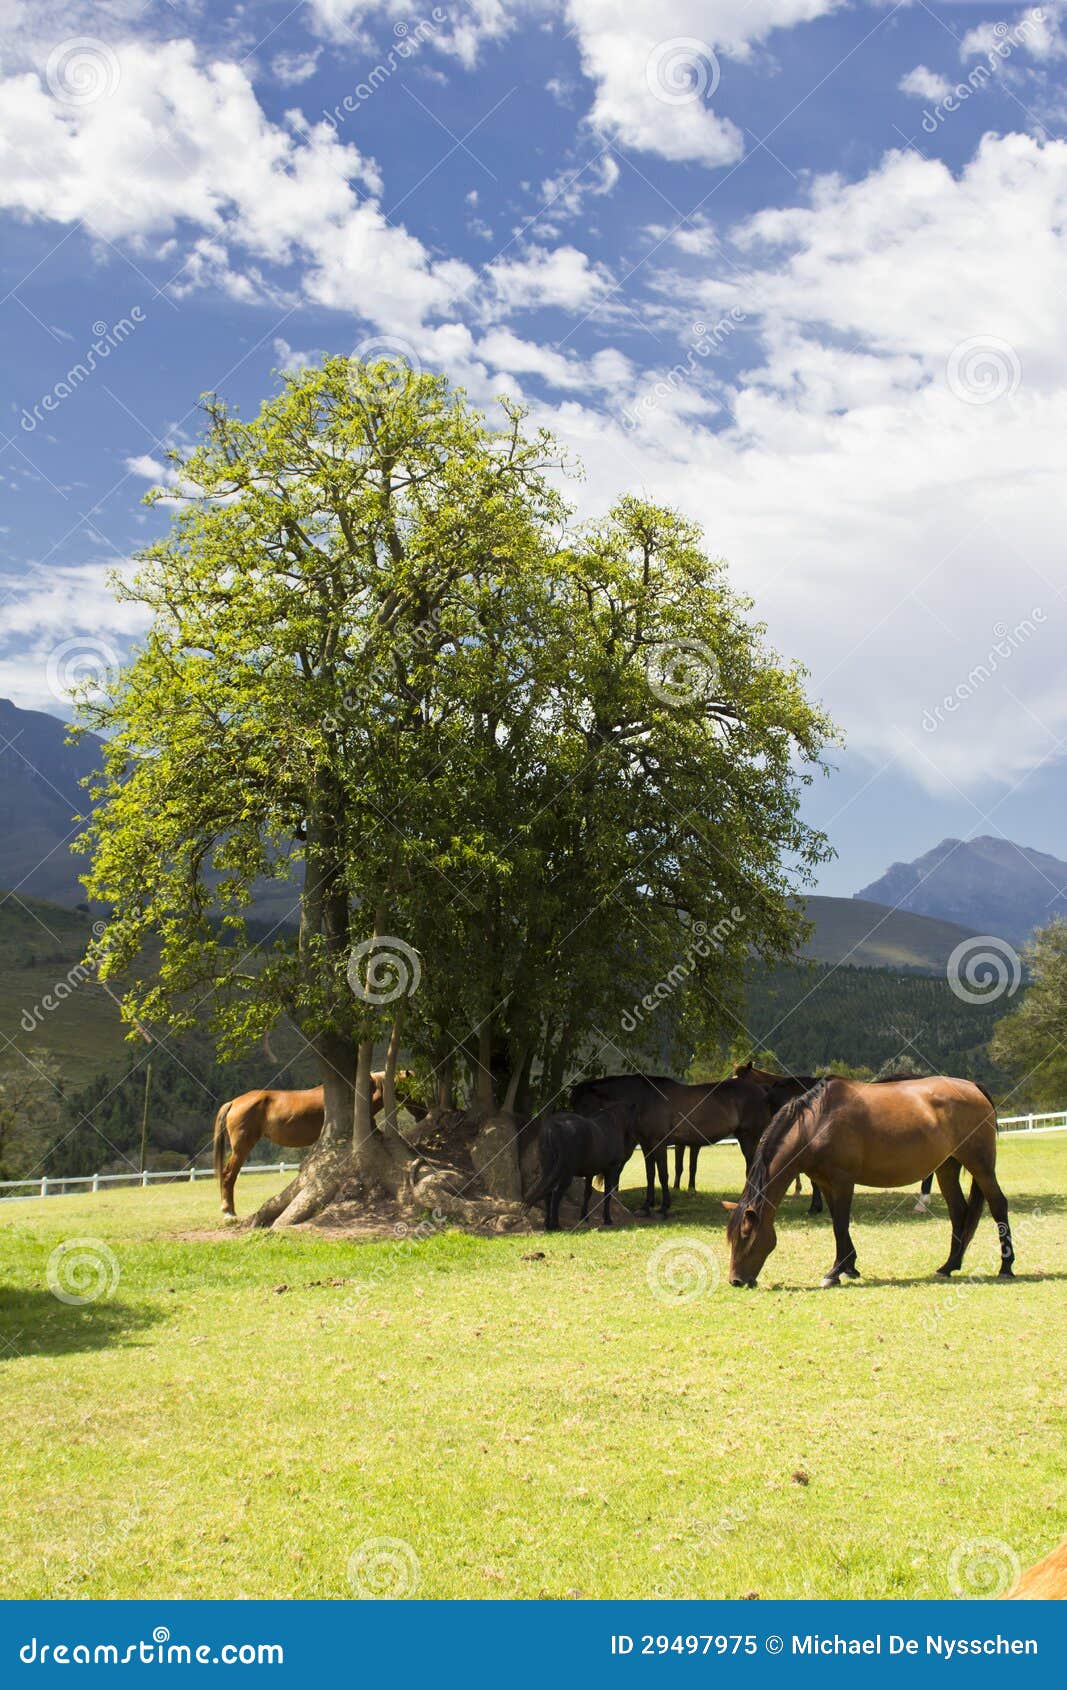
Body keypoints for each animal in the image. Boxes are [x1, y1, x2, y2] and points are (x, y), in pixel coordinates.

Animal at [213, 1070, 427, 1217]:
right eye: (414, 1087)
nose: (423, 1113)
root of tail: (234, 1102)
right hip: (242, 1147)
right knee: (228, 1175)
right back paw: (228, 1212)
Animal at [571, 1073, 769, 1216]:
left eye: (584, 1104)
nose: (580, 1131)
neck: (644, 1100)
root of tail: (761, 1092)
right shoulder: (647, 1146)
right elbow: (650, 1175)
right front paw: (646, 1207)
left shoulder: (659, 1144)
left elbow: (663, 1174)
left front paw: (664, 1207)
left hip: (749, 1138)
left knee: (752, 1167)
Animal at [724, 1074, 1013, 1288]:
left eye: (746, 1235)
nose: (736, 1280)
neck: (817, 1123)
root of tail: (974, 1087)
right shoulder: (826, 1183)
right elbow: (838, 1224)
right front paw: (849, 1267)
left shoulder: (842, 1182)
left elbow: (840, 1225)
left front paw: (834, 1272)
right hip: (947, 1167)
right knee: (959, 1211)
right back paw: (949, 1265)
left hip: (980, 1165)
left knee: (998, 1204)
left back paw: (1006, 1267)